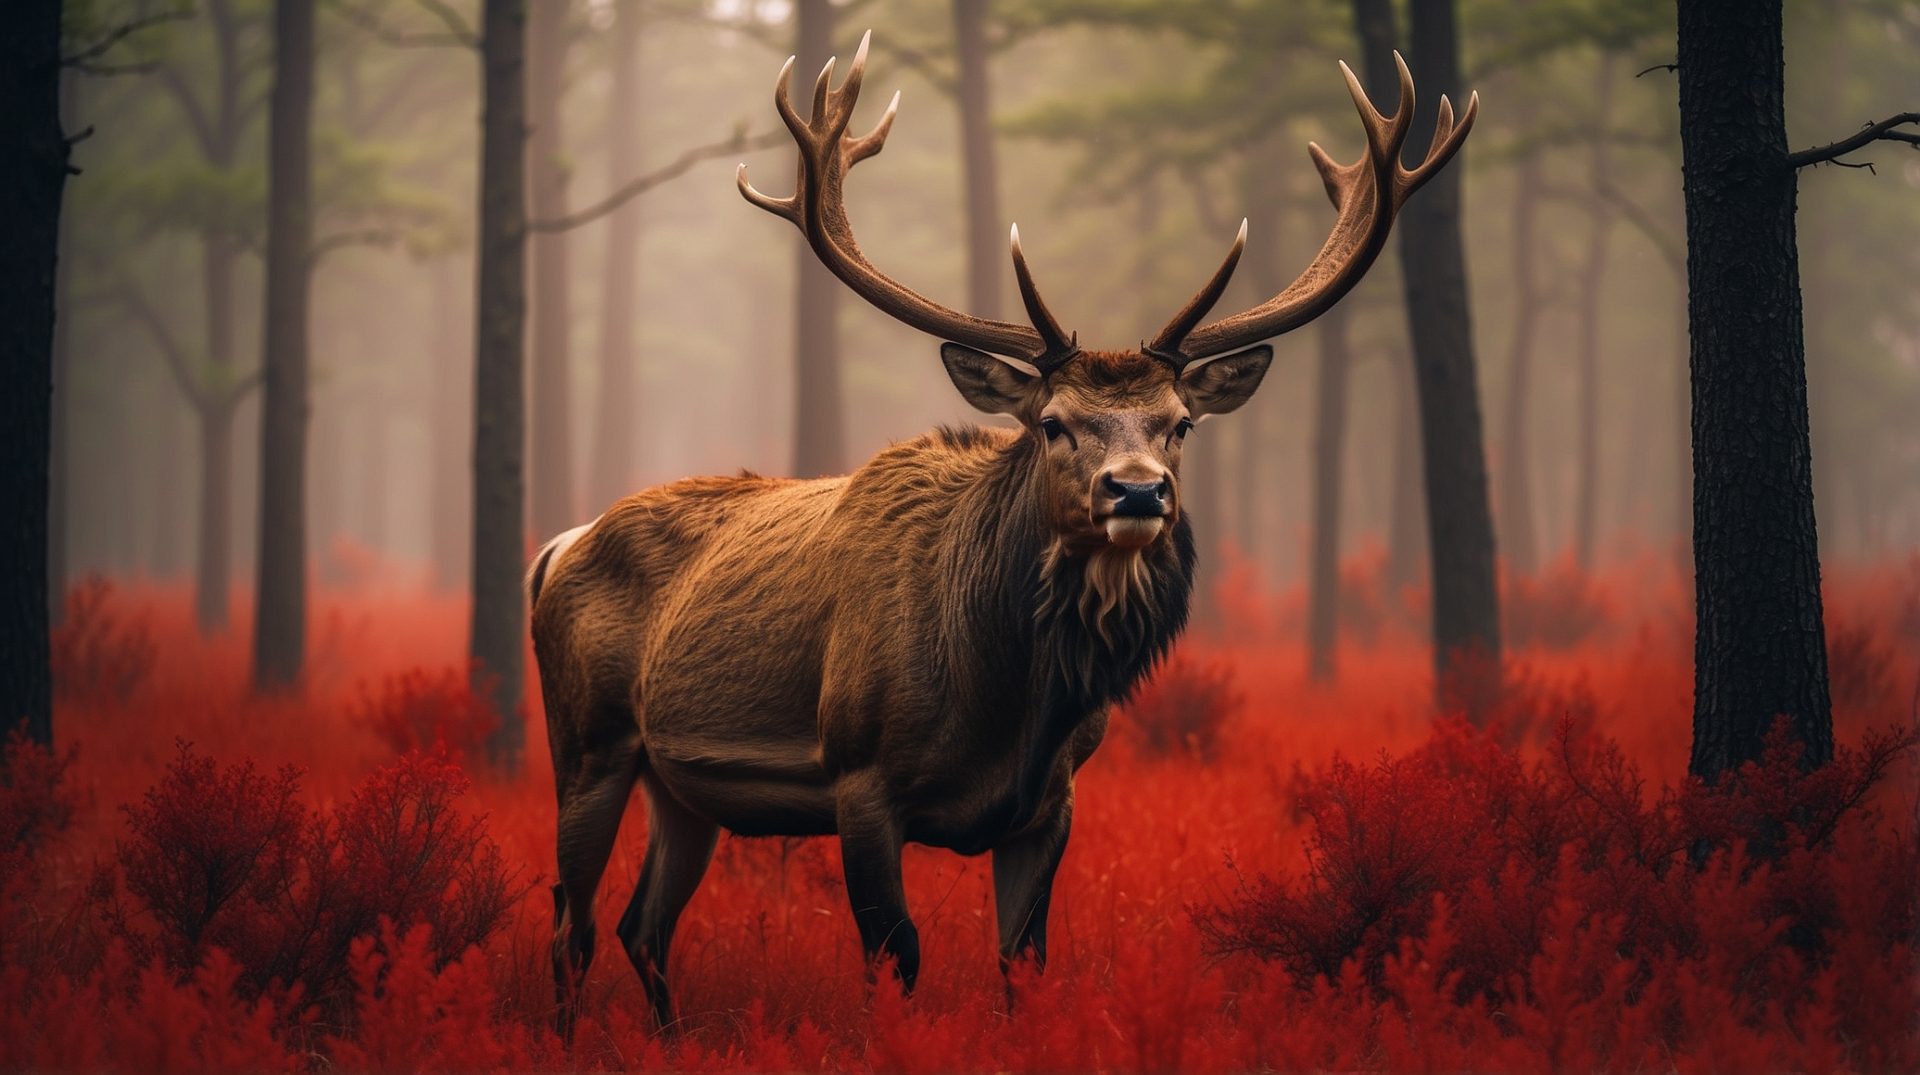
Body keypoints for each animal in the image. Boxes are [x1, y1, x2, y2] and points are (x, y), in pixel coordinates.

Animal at [528, 31, 1474, 1033]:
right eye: (1053, 422)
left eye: (1179, 422)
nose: (1137, 492)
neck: (1007, 697)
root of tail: (556, 548)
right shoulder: (859, 770)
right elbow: (898, 954)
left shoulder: (1052, 800)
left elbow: (1024, 961)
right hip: (586, 739)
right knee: (571, 923)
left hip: (682, 785)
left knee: (642, 925)